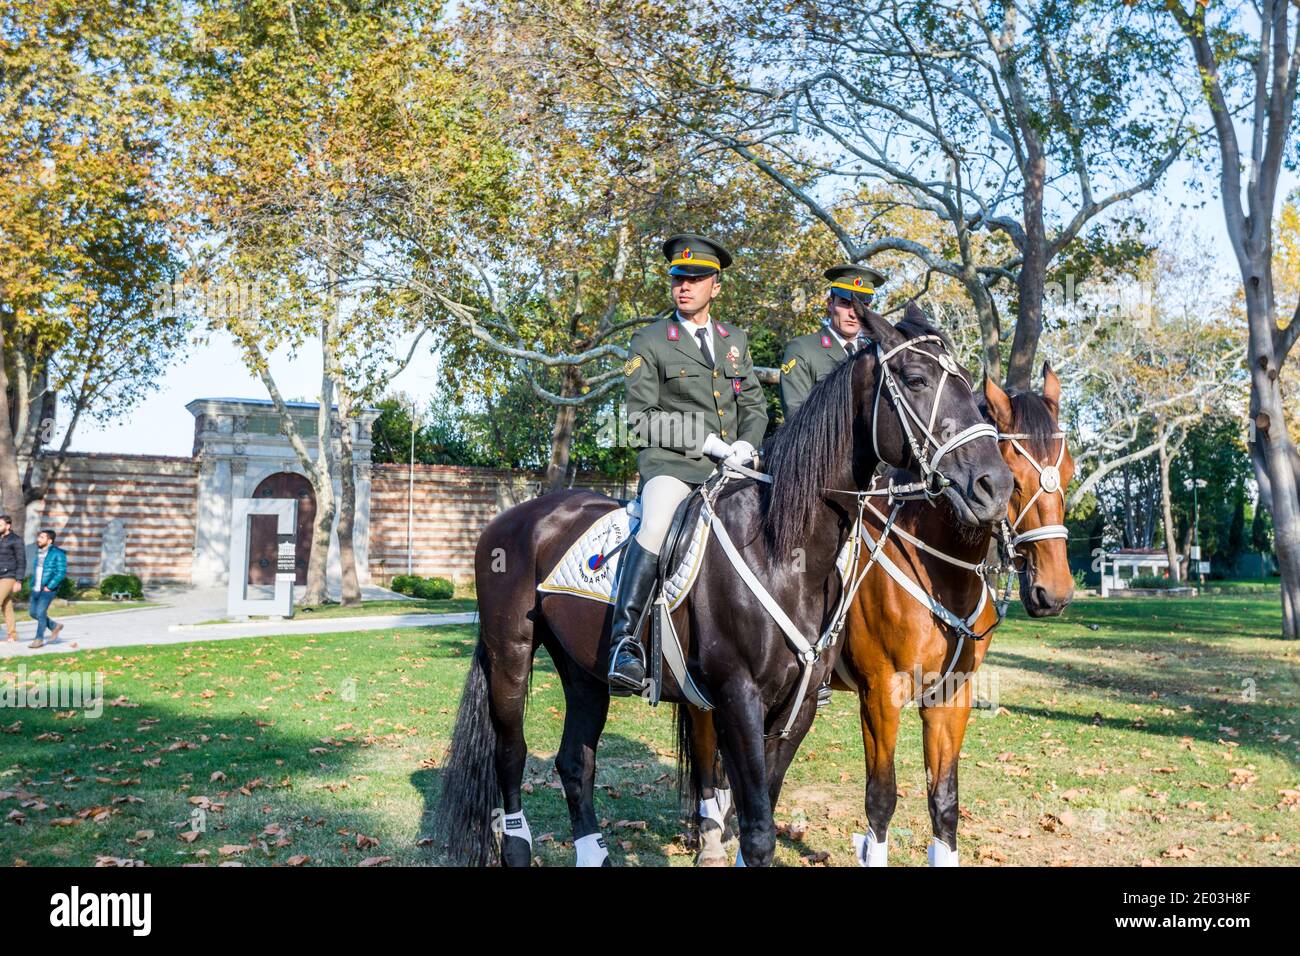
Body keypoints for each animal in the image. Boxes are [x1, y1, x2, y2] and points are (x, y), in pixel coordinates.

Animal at [432, 306, 1013, 867]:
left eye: (970, 388)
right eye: (916, 379)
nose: (995, 485)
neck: (784, 552)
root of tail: (517, 518)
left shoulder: (799, 707)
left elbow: (763, 819)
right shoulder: (745, 698)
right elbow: (759, 834)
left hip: (584, 671)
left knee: (576, 762)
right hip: (511, 654)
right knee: (510, 755)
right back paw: (516, 846)